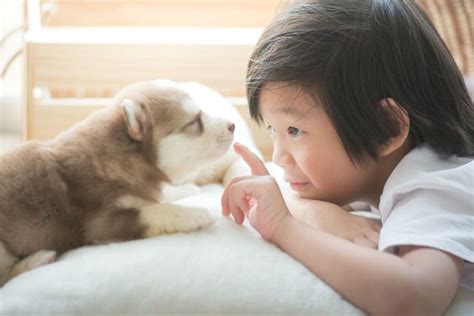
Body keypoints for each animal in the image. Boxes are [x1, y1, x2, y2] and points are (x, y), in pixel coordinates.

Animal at [0, 79, 236, 286]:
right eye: (193, 122)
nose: (233, 125)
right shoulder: (100, 224)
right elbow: (155, 210)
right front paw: (195, 214)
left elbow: (157, 197)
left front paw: (184, 189)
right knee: (6, 275)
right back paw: (38, 259)